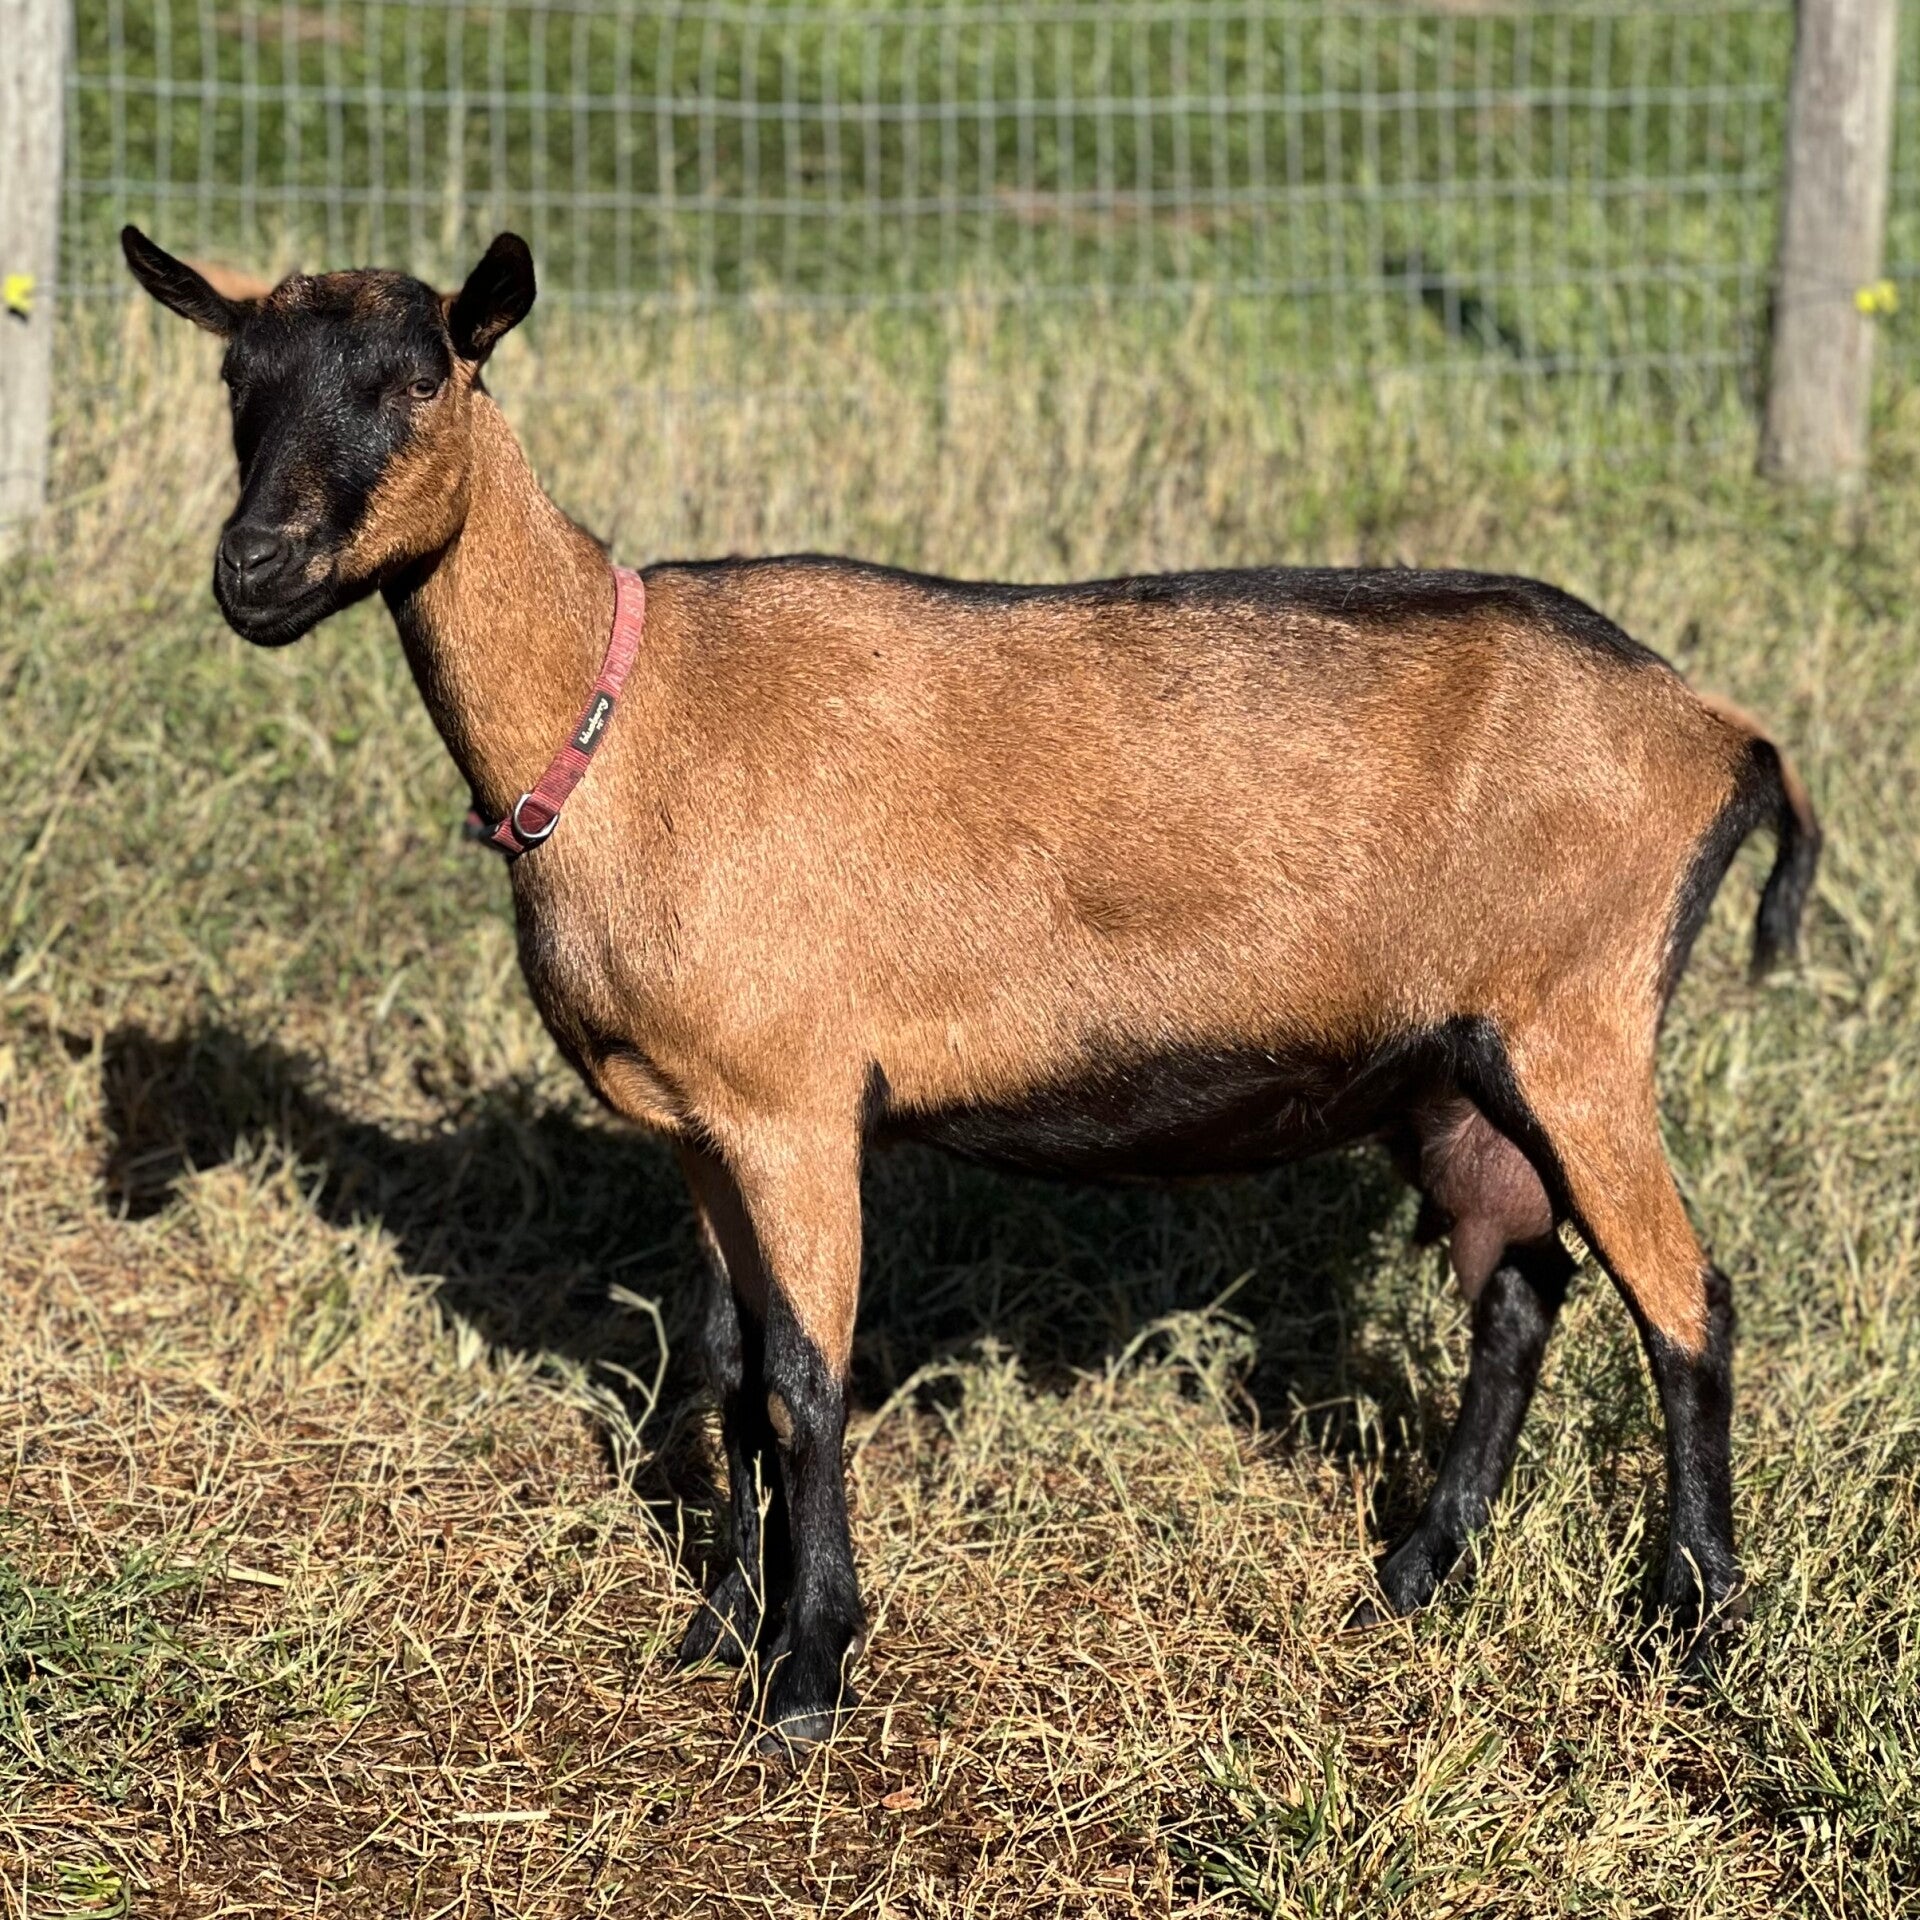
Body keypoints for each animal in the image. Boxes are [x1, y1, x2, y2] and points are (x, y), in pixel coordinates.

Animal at [122, 227, 1820, 1753]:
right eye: (235, 379)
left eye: (418, 380)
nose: (253, 573)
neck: (626, 719)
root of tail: (1721, 733)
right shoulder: (700, 1122)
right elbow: (728, 1366)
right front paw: (720, 1623)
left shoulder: (797, 1102)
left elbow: (805, 1383)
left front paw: (806, 1681)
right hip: (1451, 1066)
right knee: (1521, 1291)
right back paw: (1414, 1575)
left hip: (1579, 1027)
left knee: (1689, 1304)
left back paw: (1689, 1628)